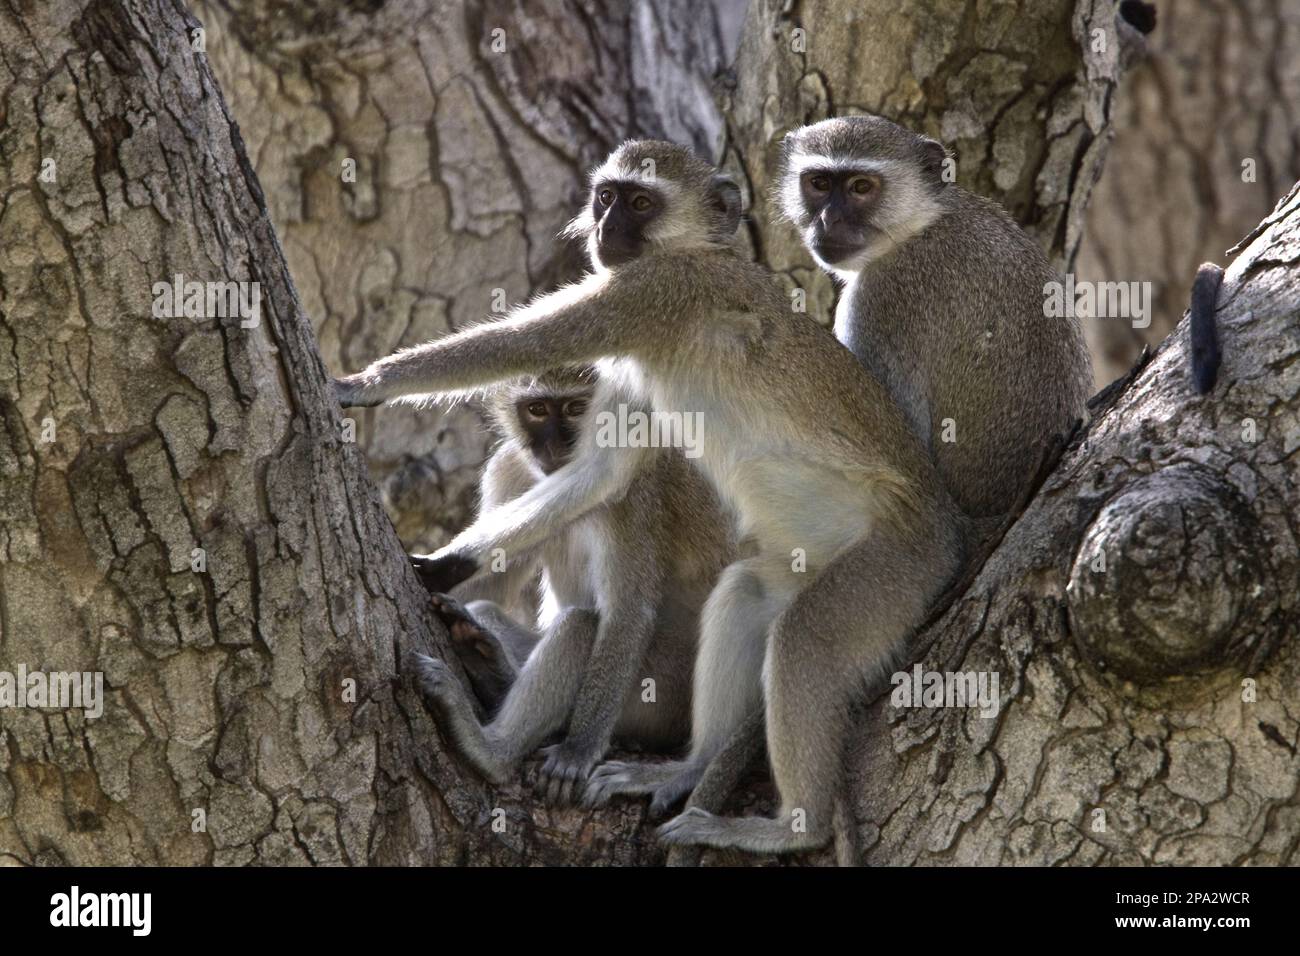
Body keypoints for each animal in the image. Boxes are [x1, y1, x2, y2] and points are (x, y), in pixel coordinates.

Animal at [335, 139, 967, 854]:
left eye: (641, 202)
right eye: (607, 197)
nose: (606, 229)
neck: (694, 250)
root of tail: (947, 535)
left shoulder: (656, 293)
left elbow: (531, 343)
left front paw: (364, 383)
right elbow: (603, 472)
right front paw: (446, 564)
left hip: (895, 568)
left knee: (805, 640)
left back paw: (784, 830)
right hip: (810, 562)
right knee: (746, 593)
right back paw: (685, 769)